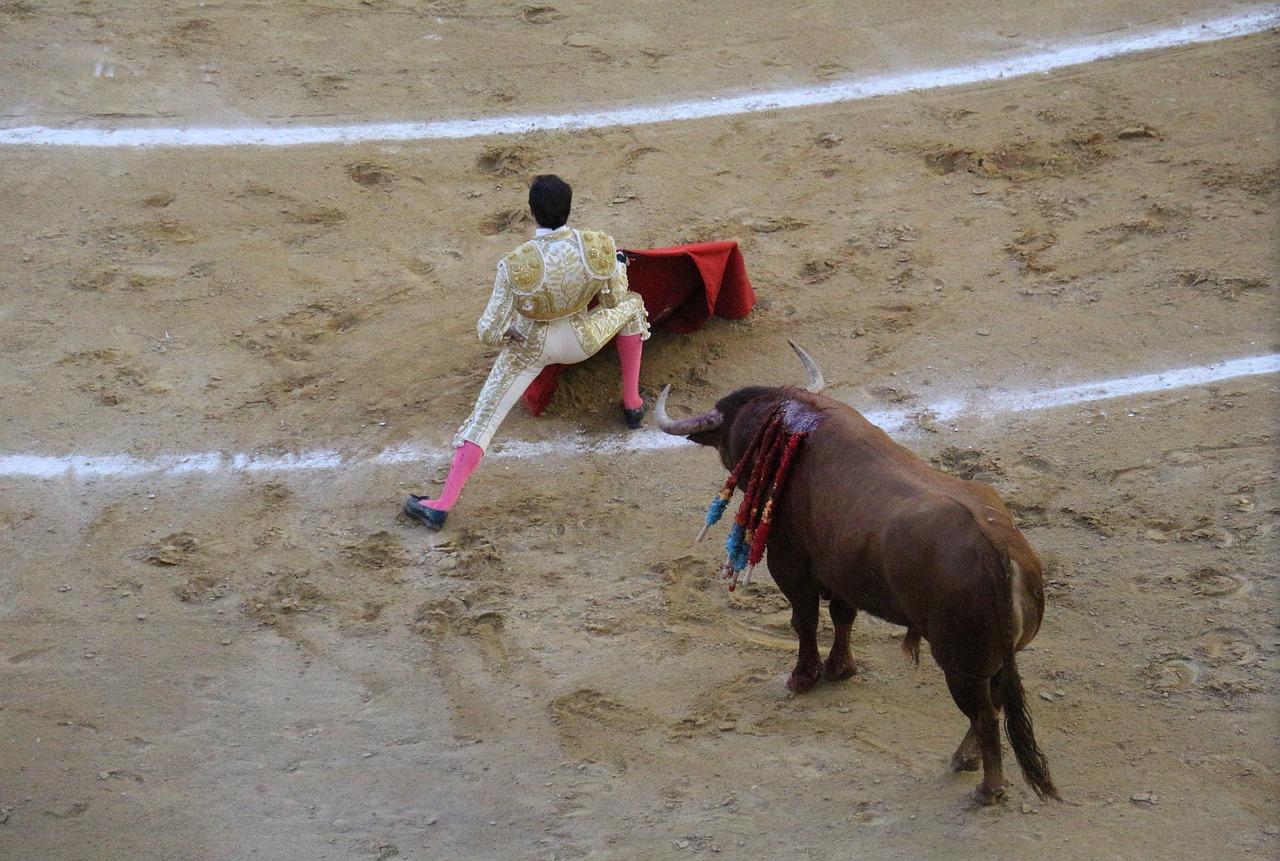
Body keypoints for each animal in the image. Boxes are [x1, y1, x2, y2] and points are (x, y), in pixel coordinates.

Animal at [655, 342, 1059, 805]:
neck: (790, 420)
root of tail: (1001, 555)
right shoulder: (844, 571)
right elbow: (843, 617)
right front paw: (841, 669)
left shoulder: (788, 563)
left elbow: (805, 620)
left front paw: (803, 677)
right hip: (990, 662)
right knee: (991, 706)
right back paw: (965, 760)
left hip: (960, 664)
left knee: (986, 716)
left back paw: (986, 787)